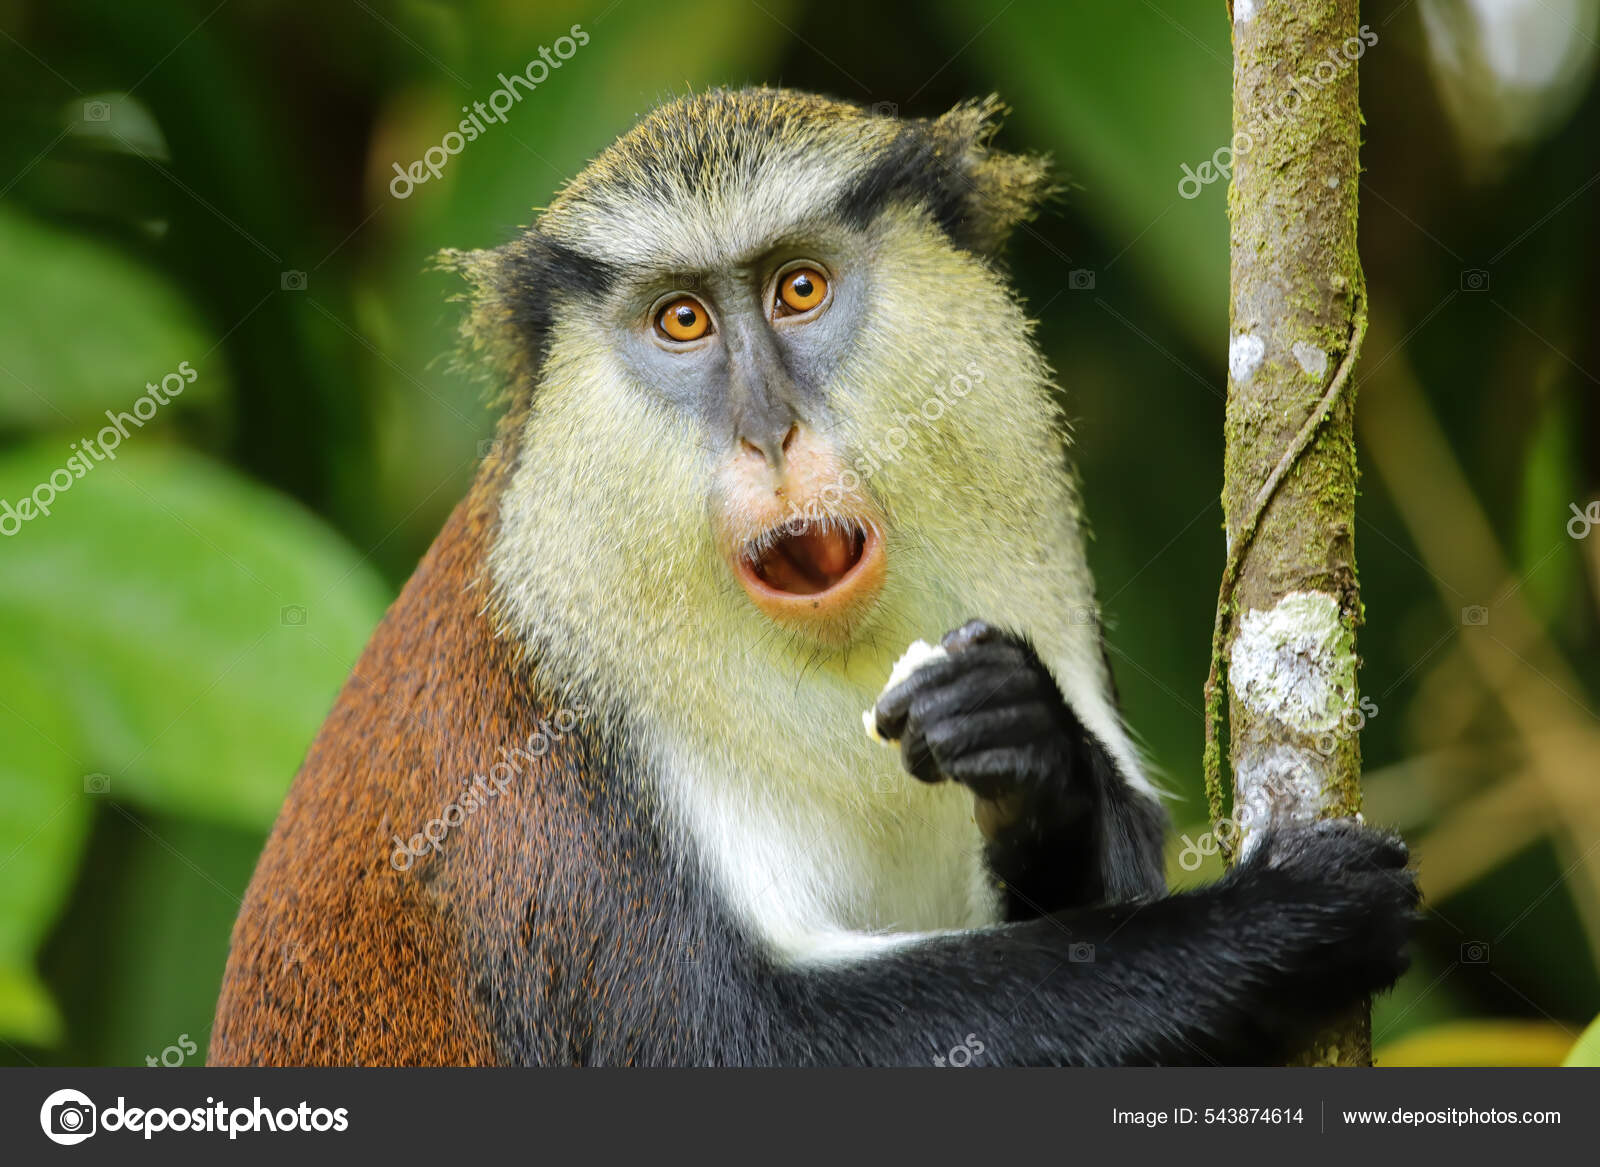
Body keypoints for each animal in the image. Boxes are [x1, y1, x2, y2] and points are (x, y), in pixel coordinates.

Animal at [210, 88, 1418, 1067]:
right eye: (683, 319)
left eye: (798, 288)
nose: (768, 432)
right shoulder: (541, 766)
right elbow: (731, 1042)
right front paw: (1289, 919)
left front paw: (1027, 740)